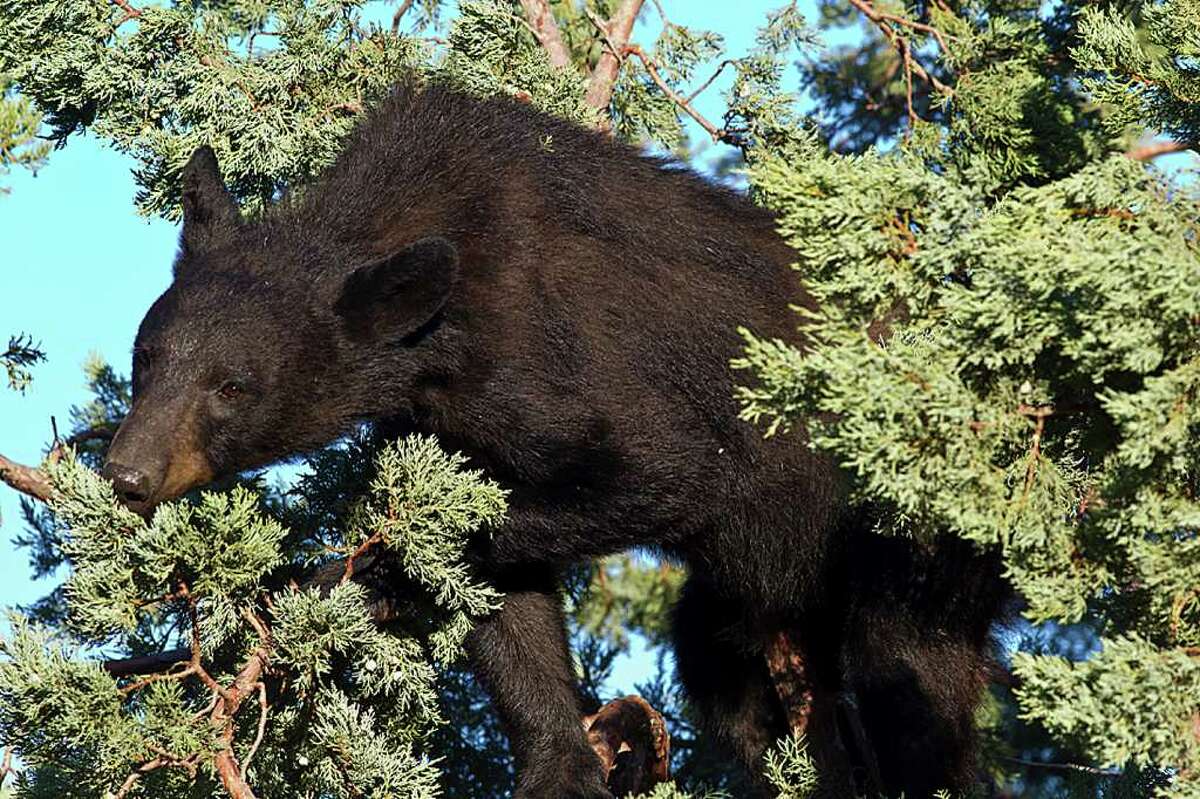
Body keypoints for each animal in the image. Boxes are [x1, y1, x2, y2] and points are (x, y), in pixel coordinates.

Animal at [100, 80, 1006, 798]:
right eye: (145, 359)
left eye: (231, 387)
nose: (126, 473)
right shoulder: (443, 421)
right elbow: (506, 601)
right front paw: (559, 761)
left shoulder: (552, 357)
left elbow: (659, 468)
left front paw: (361, 570)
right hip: (753, 592)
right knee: (723, 673)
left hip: (911, 537)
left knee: (908, 670)